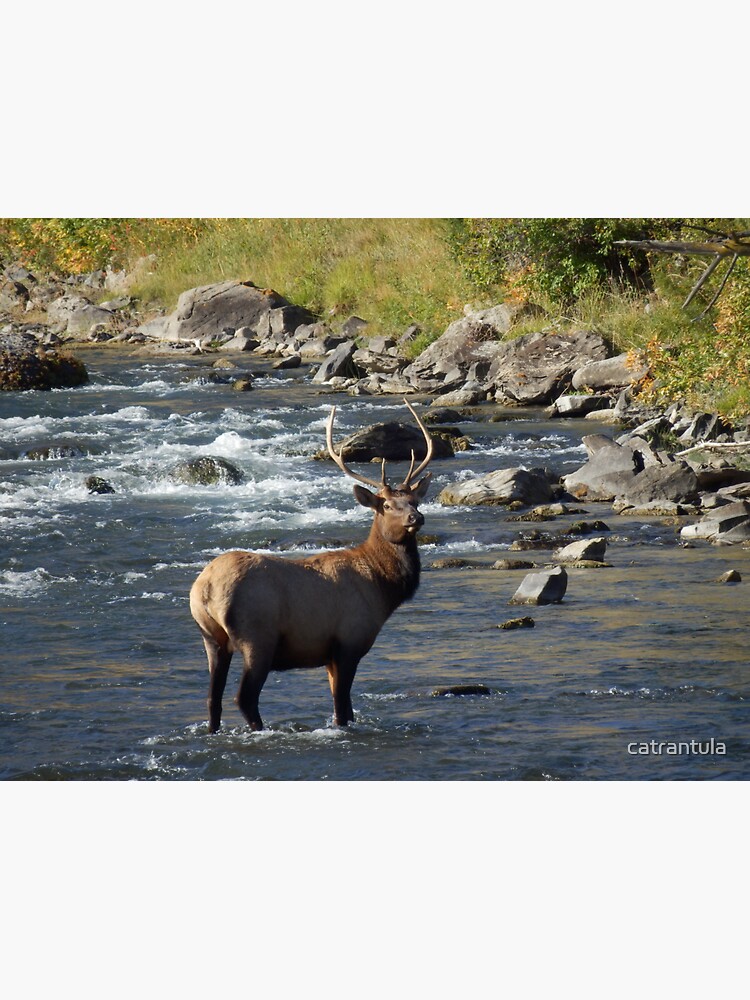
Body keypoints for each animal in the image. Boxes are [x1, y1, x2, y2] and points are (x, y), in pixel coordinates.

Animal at [189, 399, 434, 733]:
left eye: (415, 501)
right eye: (385, 504)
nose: (416, 518)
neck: (381, 589)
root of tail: (206, 589)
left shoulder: (329, 654)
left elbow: (345, 710)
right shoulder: (348, 640)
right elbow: (342, 708)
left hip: (211, 638)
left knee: (212, 700)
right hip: (257, 636)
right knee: (244, 697)